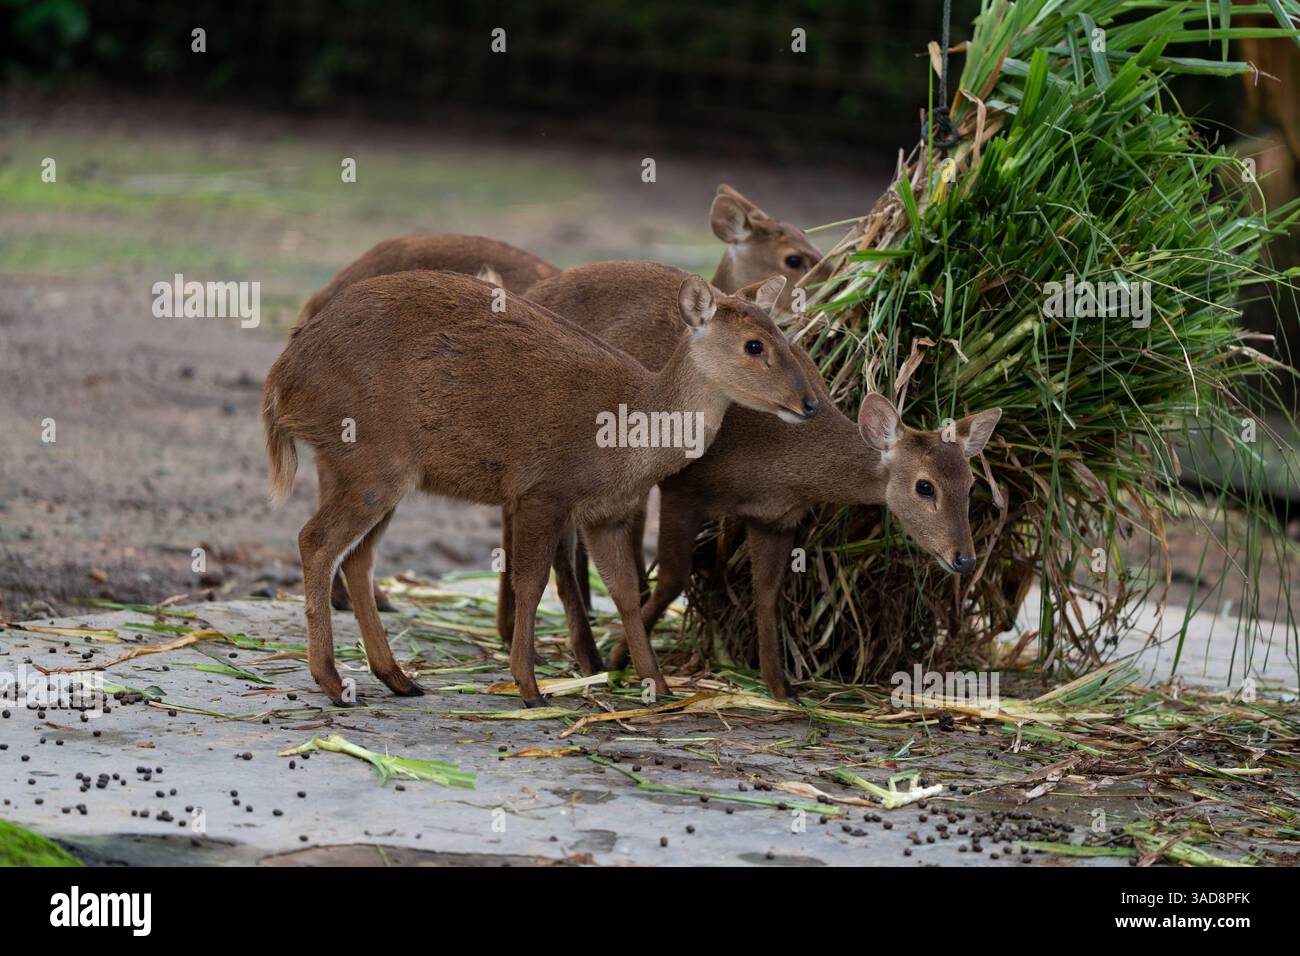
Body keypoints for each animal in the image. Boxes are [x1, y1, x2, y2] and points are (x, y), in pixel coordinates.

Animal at [262, 269, 818, 707]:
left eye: (783, 334)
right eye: (753, 345)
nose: (810, 403)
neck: (629, 437)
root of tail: (282, 377)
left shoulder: (607, 513)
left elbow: (624, 592)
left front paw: (656, 686)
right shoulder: (539, 491)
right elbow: (530, 585)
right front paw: (529, 688)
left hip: (377, 473)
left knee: (357, 556)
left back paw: (398, 678)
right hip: (370, 460)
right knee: (315, 541)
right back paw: (333, 682)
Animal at [507, 262, 1002, 700]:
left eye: (972, 485)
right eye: (925, 486)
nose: (964, 559)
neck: (778, 467)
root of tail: (537, 287)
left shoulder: (777, 519)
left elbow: (767, 594)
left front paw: (781, 686)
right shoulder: (684, 487)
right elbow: (673, 578)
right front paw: (621, 659)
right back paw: (579, 654)